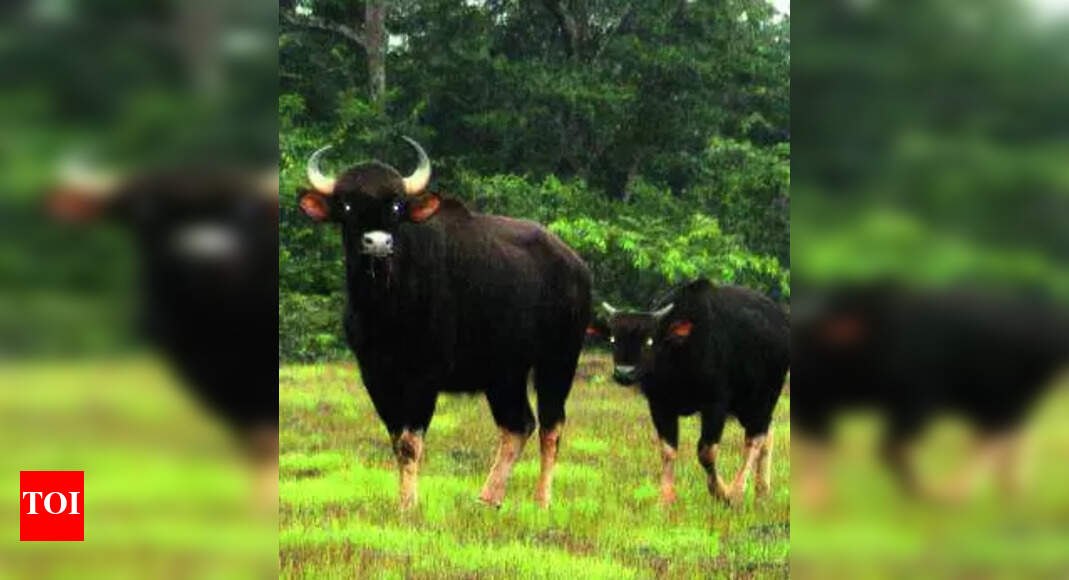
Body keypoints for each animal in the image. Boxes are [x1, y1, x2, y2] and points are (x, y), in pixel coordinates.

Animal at [296, 137, 591, 509]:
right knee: (518, 425)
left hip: (559, 359)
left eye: (396, 206)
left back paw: (541, 501)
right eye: (347, 206)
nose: (378, 243)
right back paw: (488, 499)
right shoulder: (374, 375)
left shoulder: (425, 376)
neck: (387, 306)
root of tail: (576, 266)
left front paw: (409, 505)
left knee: (552, 427)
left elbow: (410, 443)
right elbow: (396, 440)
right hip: (504, 372)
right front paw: (403, 500)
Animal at [602, 279, 789, 505]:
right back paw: (762, 493)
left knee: (756, 438)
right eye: (613, 339)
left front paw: (722, 492)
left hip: (763, 397)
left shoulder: (715, 405)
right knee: (767, 433)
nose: (624, 372)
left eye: (649, 340)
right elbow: (667, 450)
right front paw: (665, 499)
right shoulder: (659, 404)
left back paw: (737, 492)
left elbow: (706, 452)